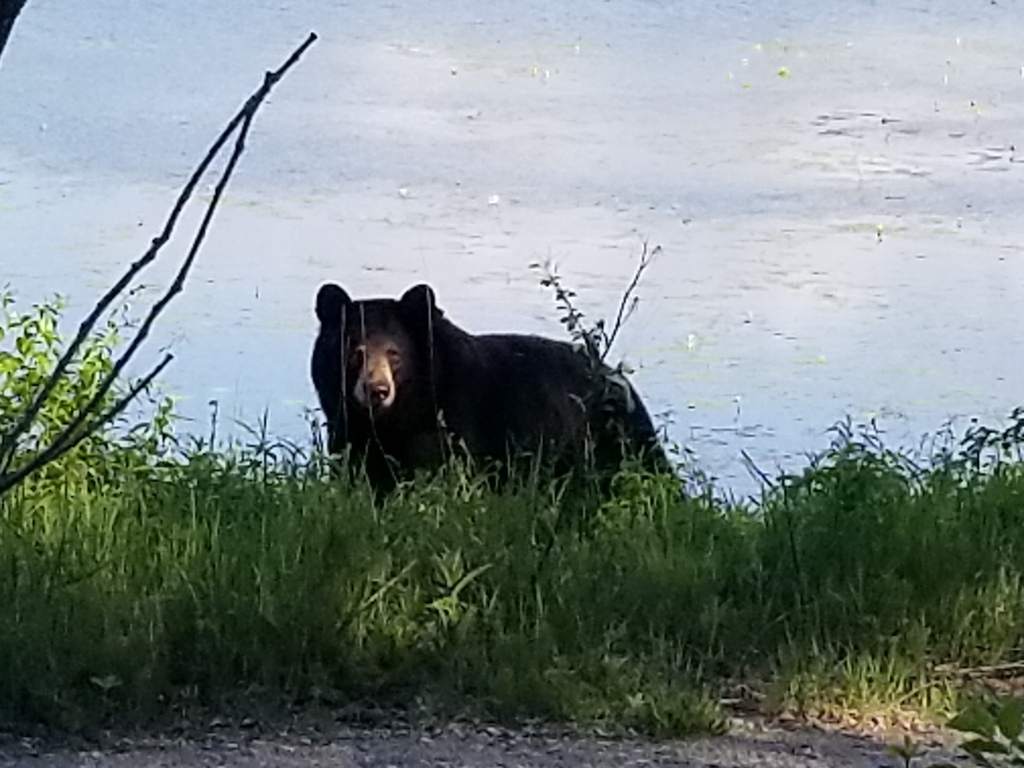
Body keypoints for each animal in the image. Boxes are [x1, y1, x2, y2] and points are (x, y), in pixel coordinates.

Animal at [311, 282, 670, 497]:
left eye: (394, 353)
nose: (377, 390)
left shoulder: (453, 422)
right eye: (354, 352)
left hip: (615, 441)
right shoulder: (348, 432)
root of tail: (620, 379)